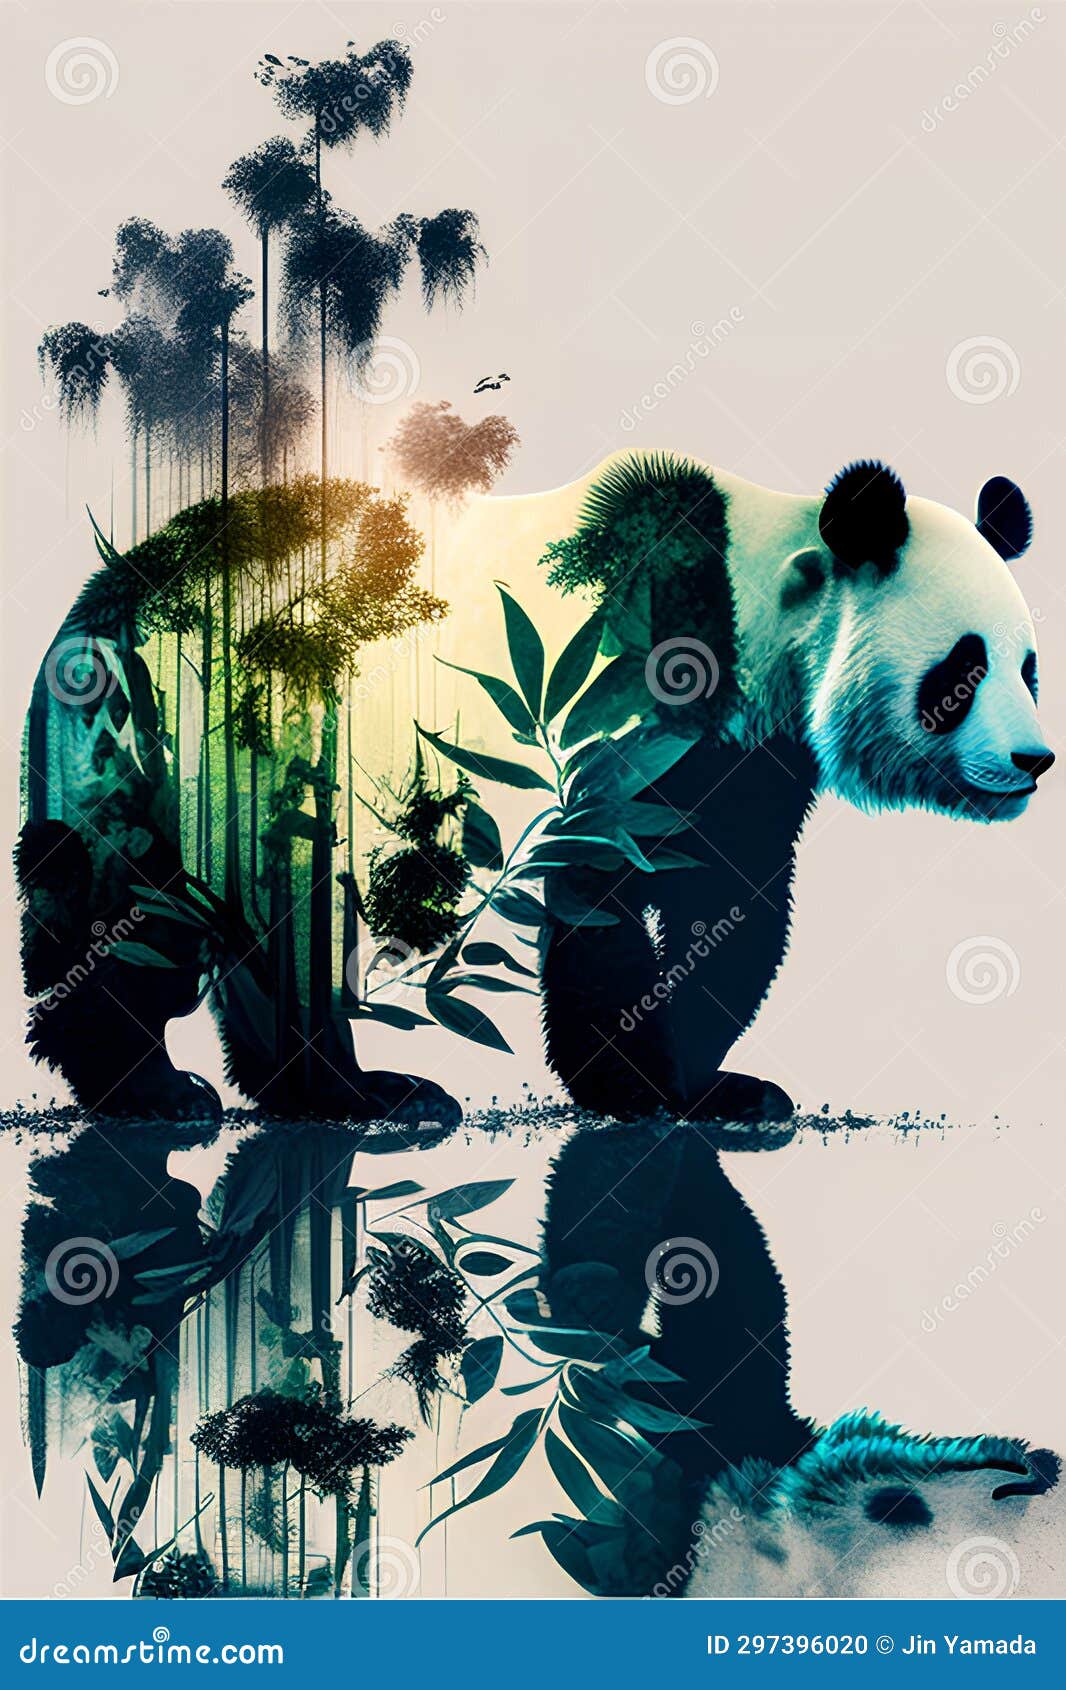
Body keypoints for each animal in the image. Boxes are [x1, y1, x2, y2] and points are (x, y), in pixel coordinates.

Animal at [540, 454, 1053, 1123]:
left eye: (1028, 671)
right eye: (964, 671)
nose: (1034, 760)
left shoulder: (760, 750)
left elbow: (727, 896)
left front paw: (707, 1082)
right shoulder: (662, 694)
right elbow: (603, 868)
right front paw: (633, 1080)